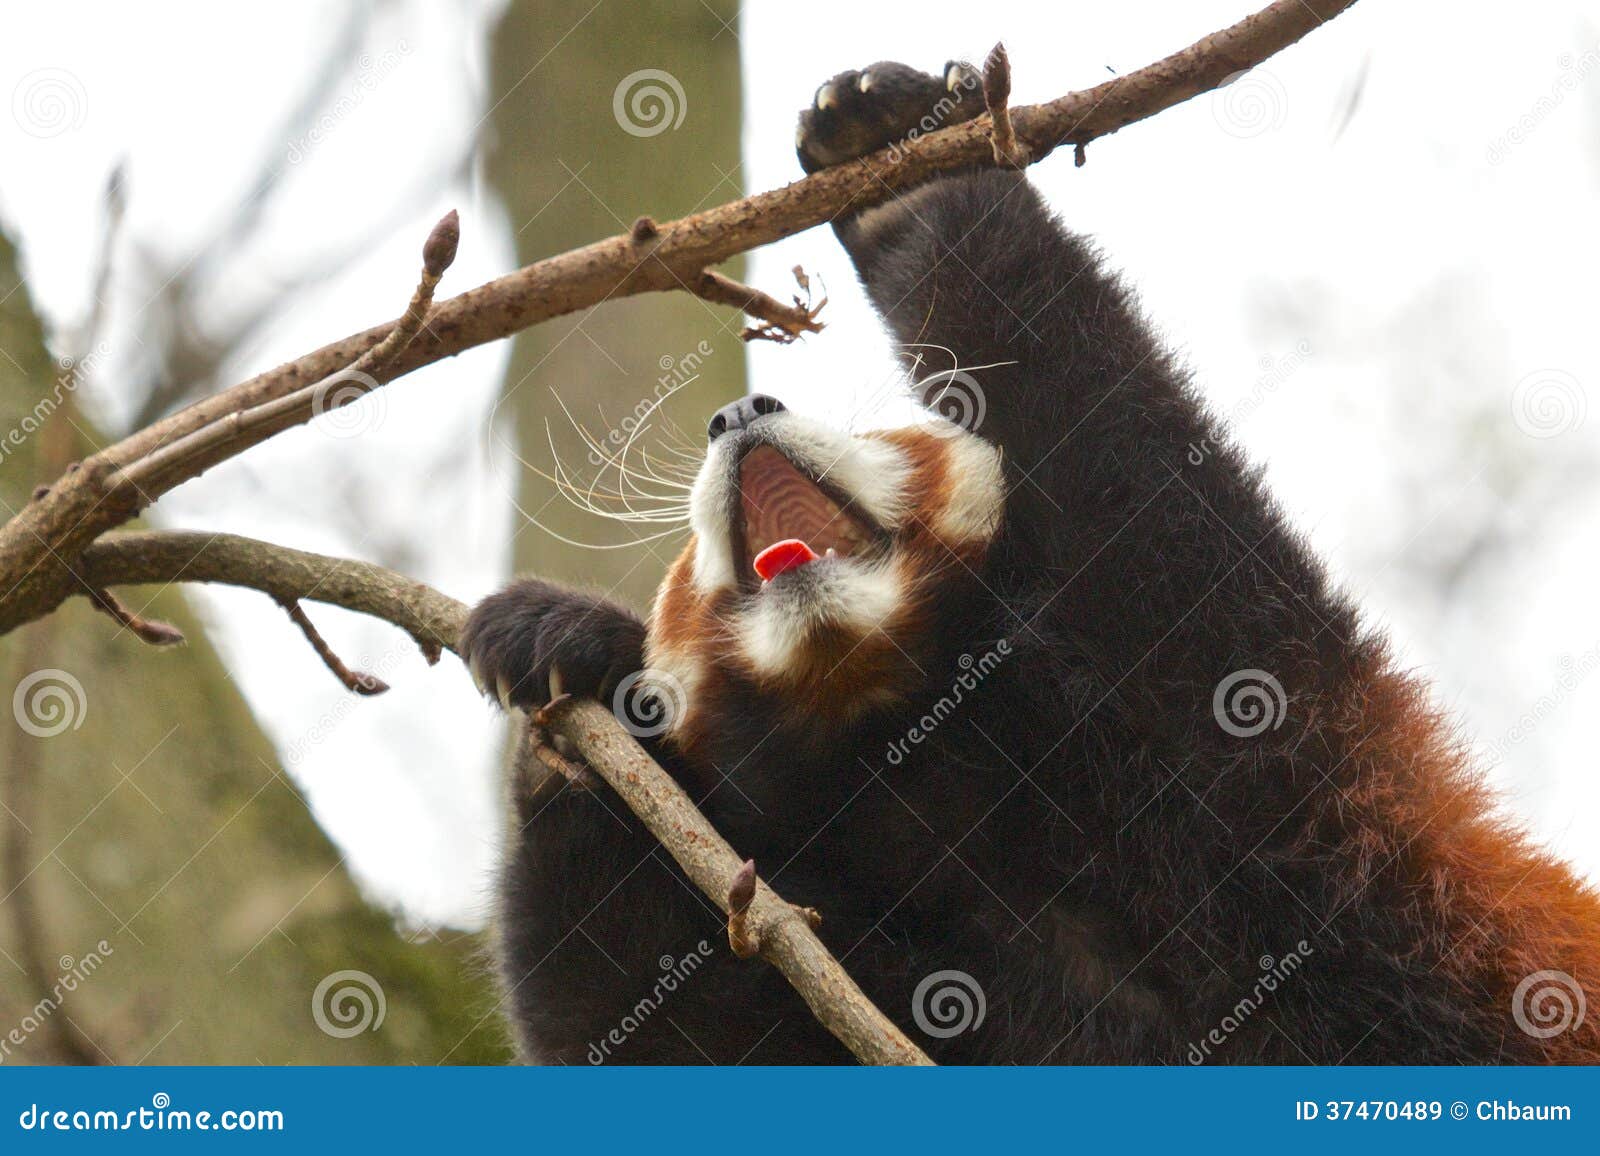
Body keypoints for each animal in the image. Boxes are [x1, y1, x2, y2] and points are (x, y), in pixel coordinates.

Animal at [460, 59, 1600, 1064]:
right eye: (689, 572)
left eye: (880, 440)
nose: (740, 412)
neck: (931, 763)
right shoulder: (905, 971)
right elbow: (646, 1027)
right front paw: (569, 670)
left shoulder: (1271, 746)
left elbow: (1091, 412)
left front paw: (900, 160)